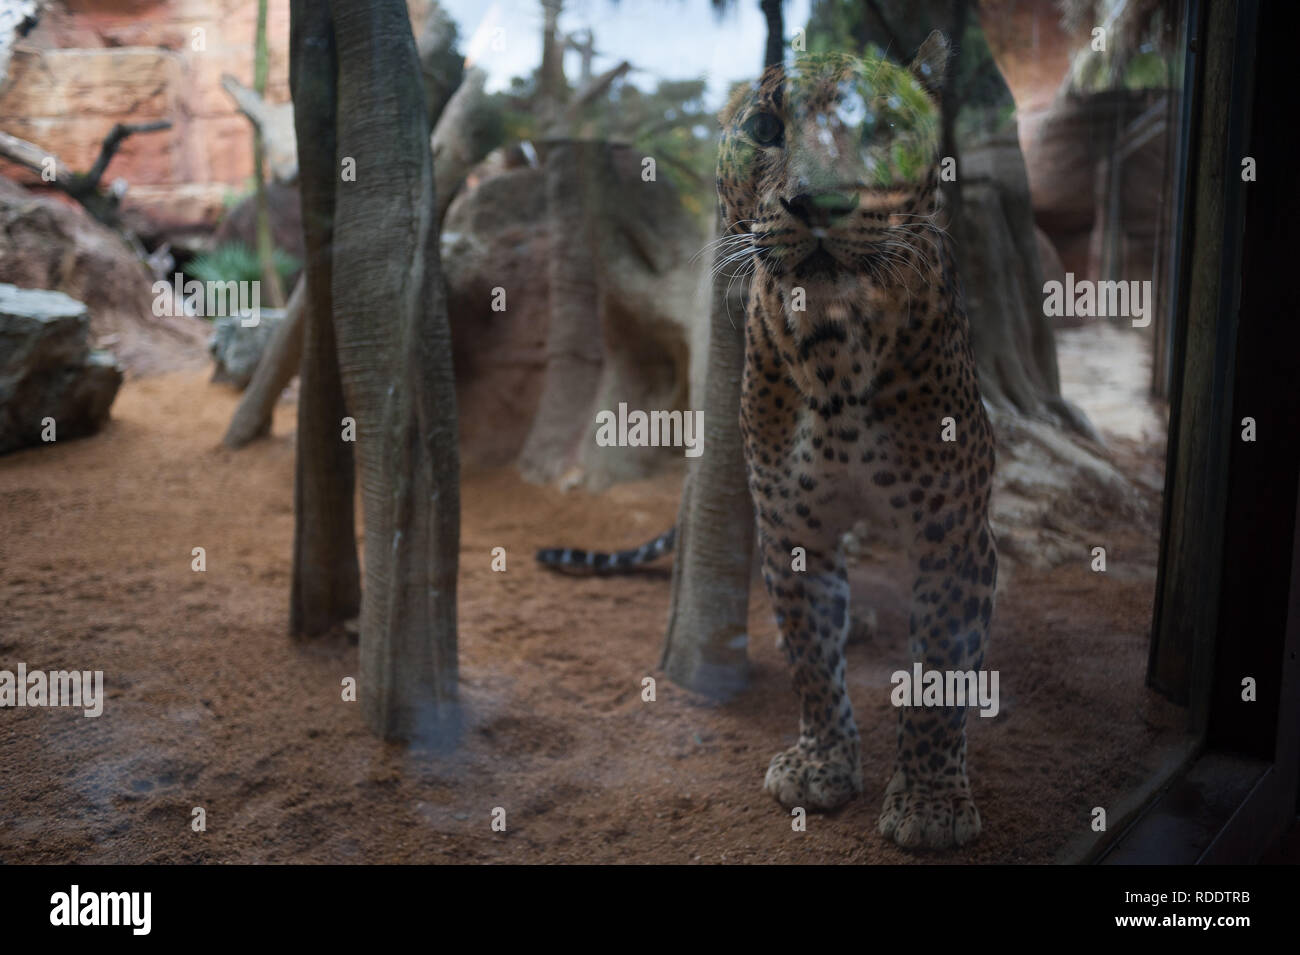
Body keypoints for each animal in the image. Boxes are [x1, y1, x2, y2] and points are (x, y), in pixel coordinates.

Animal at [538, 32, 997, 850]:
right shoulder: (792, 527)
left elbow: (940, 675)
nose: (819, 200)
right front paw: (822, 763)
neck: (835, 349)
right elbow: (811, 656)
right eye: (764, 128)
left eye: (883, 125)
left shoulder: (953, 531)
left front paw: (931, 800)